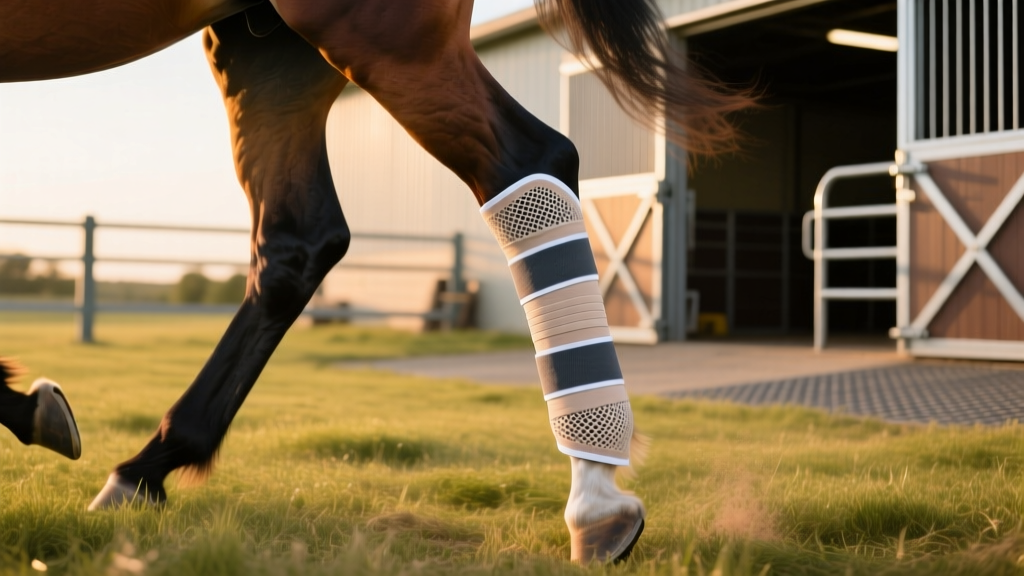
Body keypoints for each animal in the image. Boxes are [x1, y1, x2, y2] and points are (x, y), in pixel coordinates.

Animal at [1, 0, 753, 563]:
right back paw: (146, 466)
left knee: (531, 158)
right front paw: (33, 405)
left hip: (379, 34)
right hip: (269, 52)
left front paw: (27, 404)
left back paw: (595, 501)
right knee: (298, 243)